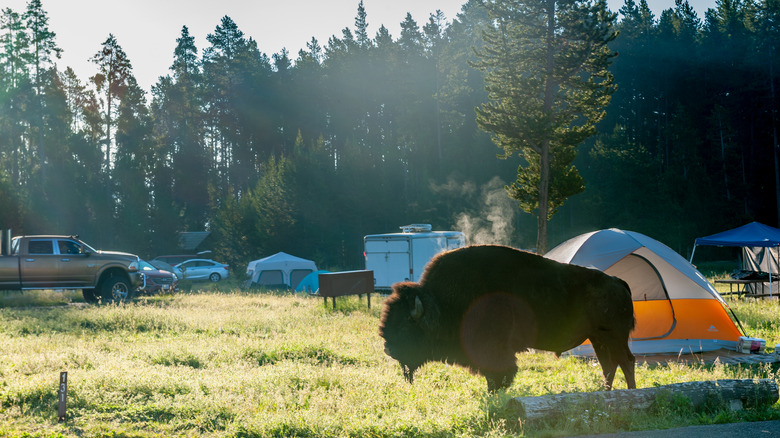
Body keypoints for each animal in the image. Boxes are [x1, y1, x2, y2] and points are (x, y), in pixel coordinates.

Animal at [379, 245, 636, 391]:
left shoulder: (495, 350)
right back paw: (605, 394)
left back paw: (631, 393)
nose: (388, 349)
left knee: (626, 362)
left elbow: (499, 375)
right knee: (608, 366)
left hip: (614, 337)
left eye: (405, 326)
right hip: (598, 339)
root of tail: (618, 282)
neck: (442, 303)